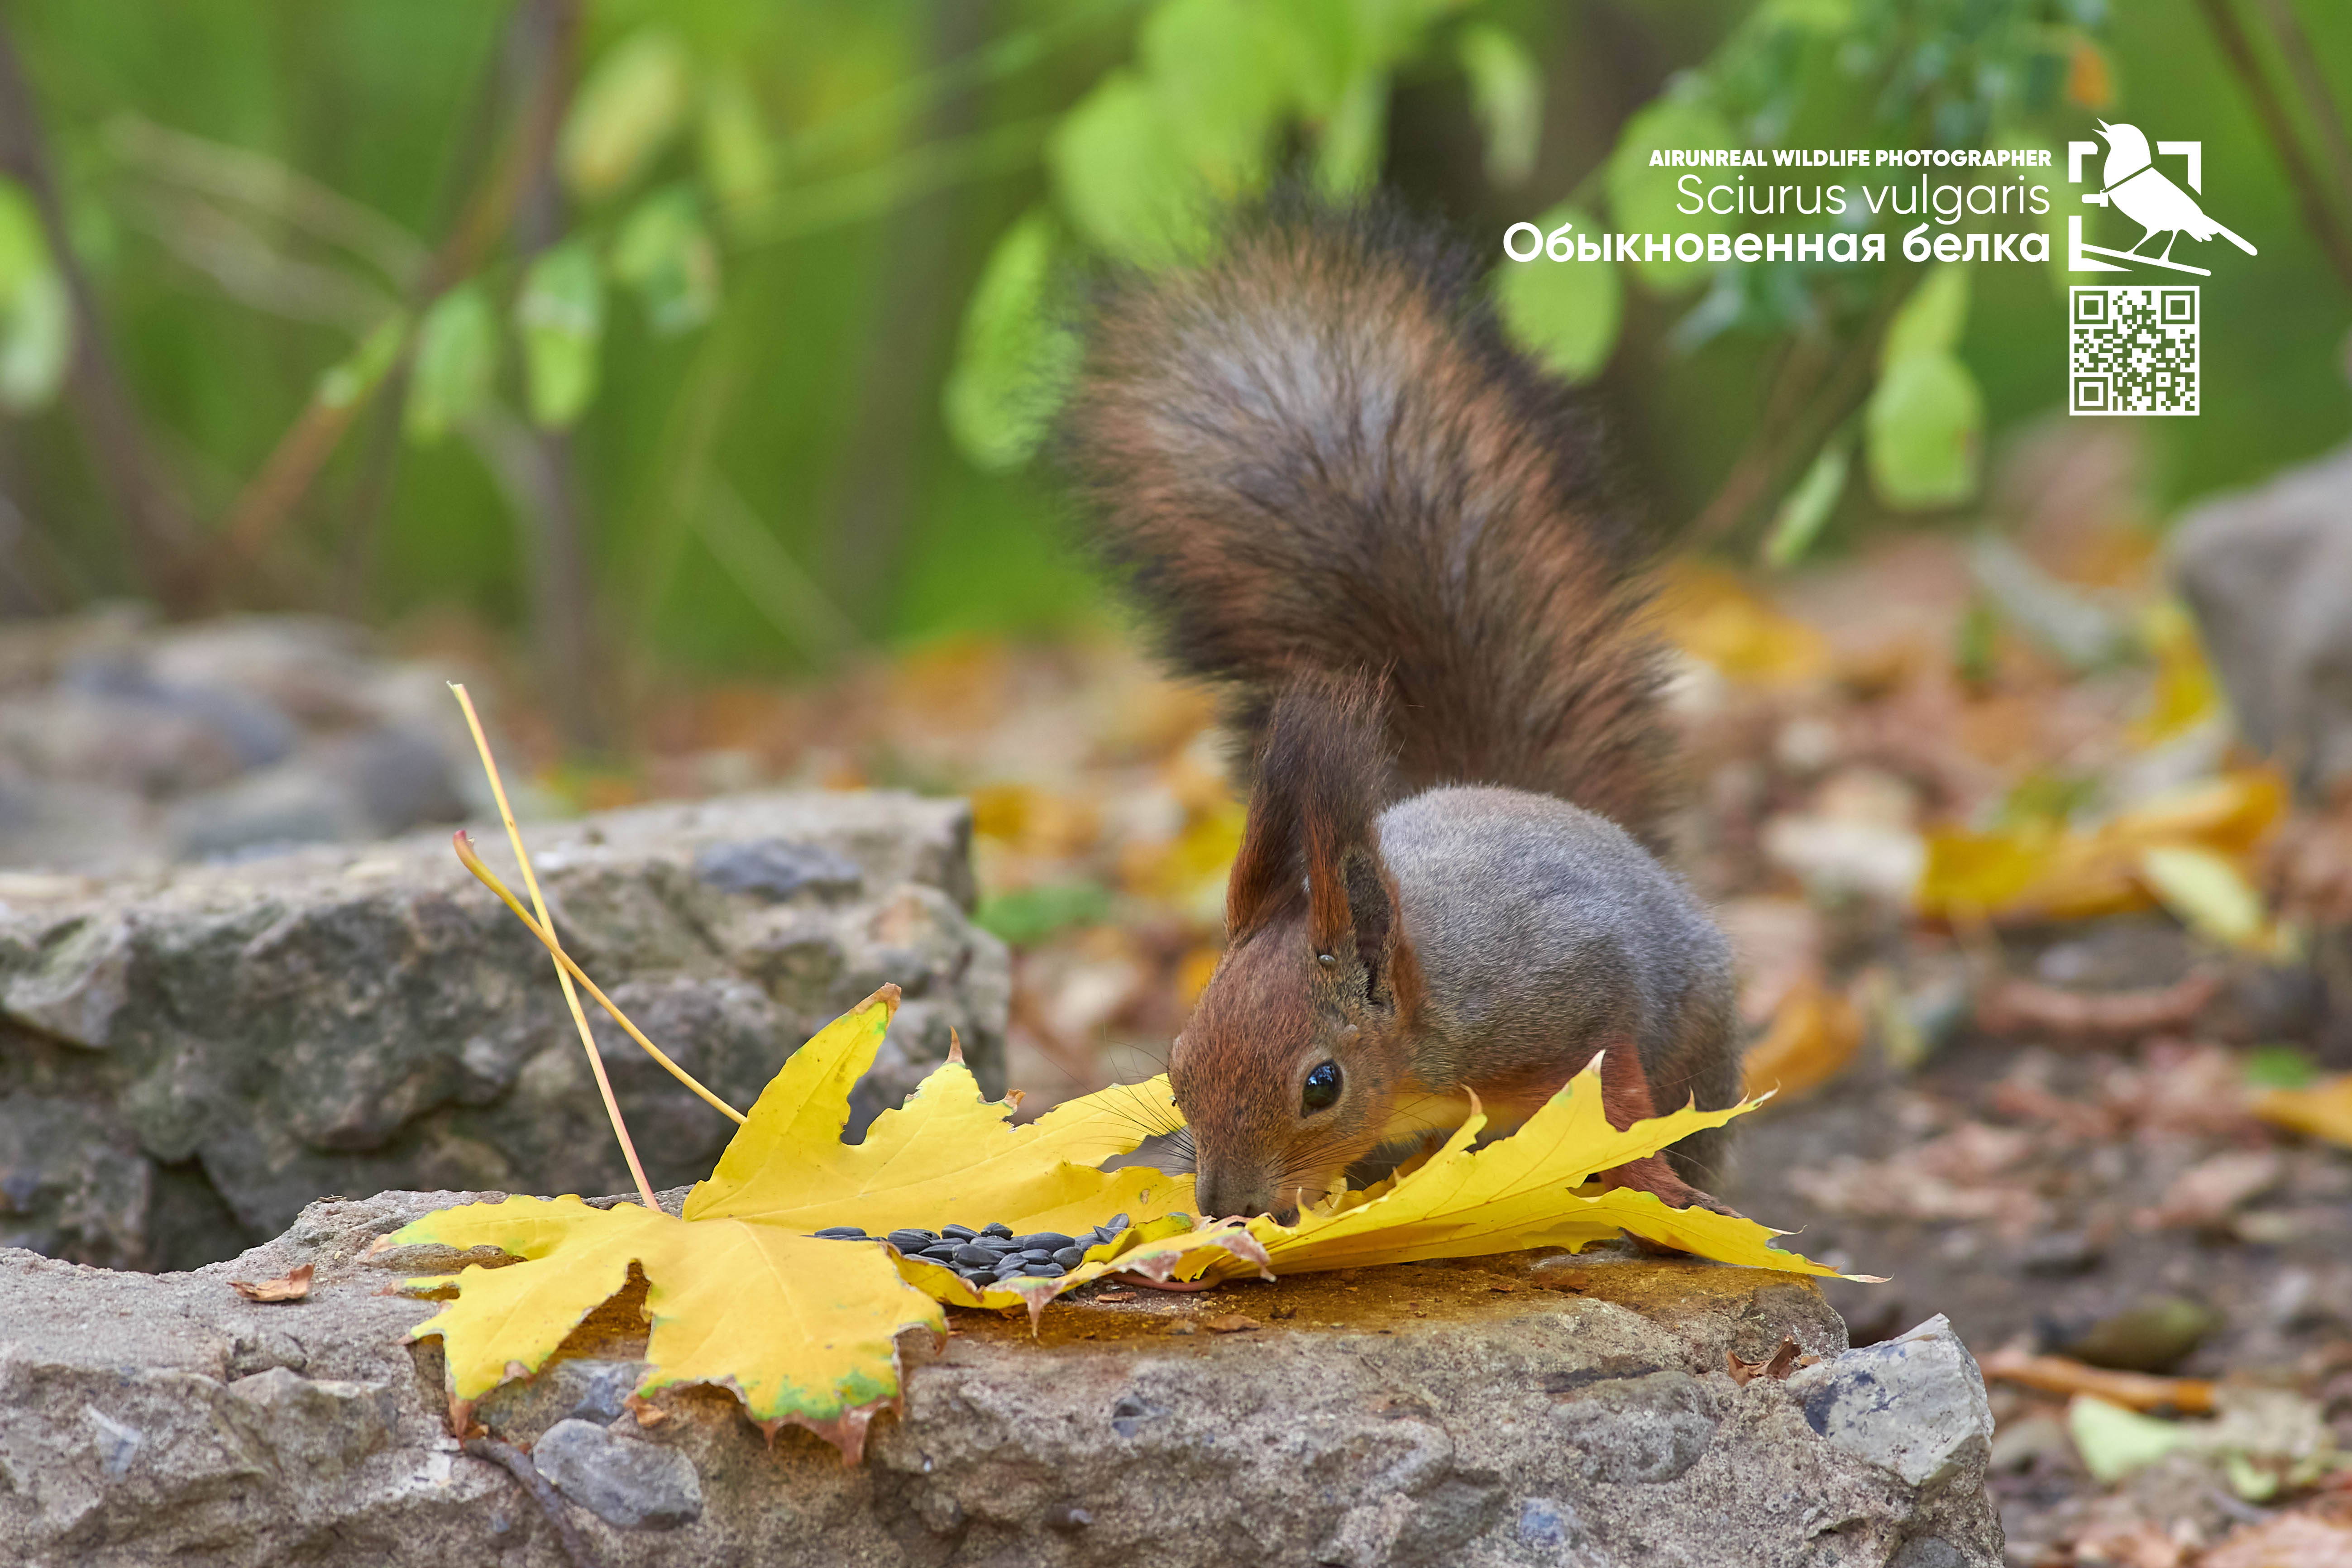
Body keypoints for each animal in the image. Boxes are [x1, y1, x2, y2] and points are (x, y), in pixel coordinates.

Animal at [1067, 202, 1750, 1222]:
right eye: (1179, 1067)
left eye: (1322, 1084)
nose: (1225, 1205)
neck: (1424, 1023)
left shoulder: (1566, 991)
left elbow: (1613, 1088)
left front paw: (1644, 1172)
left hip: (1702, 1043)